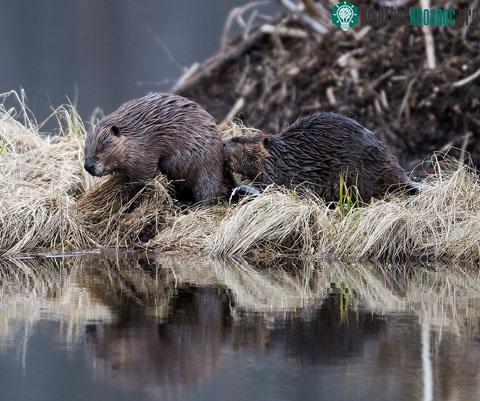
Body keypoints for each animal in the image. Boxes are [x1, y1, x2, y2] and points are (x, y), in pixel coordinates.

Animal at [84, 92, 234, 202]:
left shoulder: (143, 153)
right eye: (85, 148)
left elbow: (143, 177)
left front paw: (128, 197)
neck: (133, 134)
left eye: (102, 147)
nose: (88, 166)